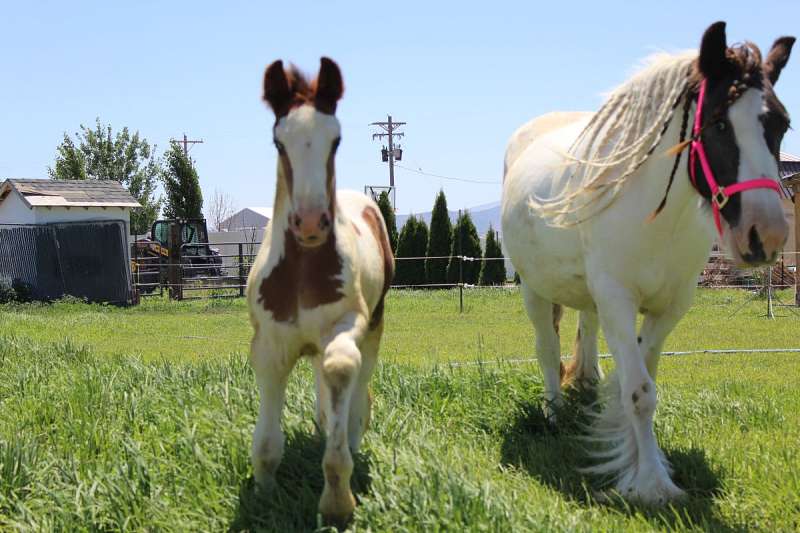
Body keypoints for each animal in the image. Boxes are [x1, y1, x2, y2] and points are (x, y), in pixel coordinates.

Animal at [246, 57, 394, 527]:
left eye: (336, 140)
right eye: (279, 141)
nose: (310, 224)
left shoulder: (349, 325)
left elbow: (342, 368)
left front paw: (337, 501)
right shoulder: (270, 343)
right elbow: (267, 444)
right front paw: (265, 495)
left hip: (375, 325)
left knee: (355, 378)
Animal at [501, 21, 793, 504]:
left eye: (782, 125)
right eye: (717, 123)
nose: (764, 235)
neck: (657, 218)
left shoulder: (671, 305)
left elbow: (642, 381)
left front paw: (641, 458)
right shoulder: (619, 298)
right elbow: (638, 391)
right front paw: (652, 484)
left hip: (590, 297)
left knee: (585, 331)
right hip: (534, 290)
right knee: (547, 350)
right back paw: (554, 414)